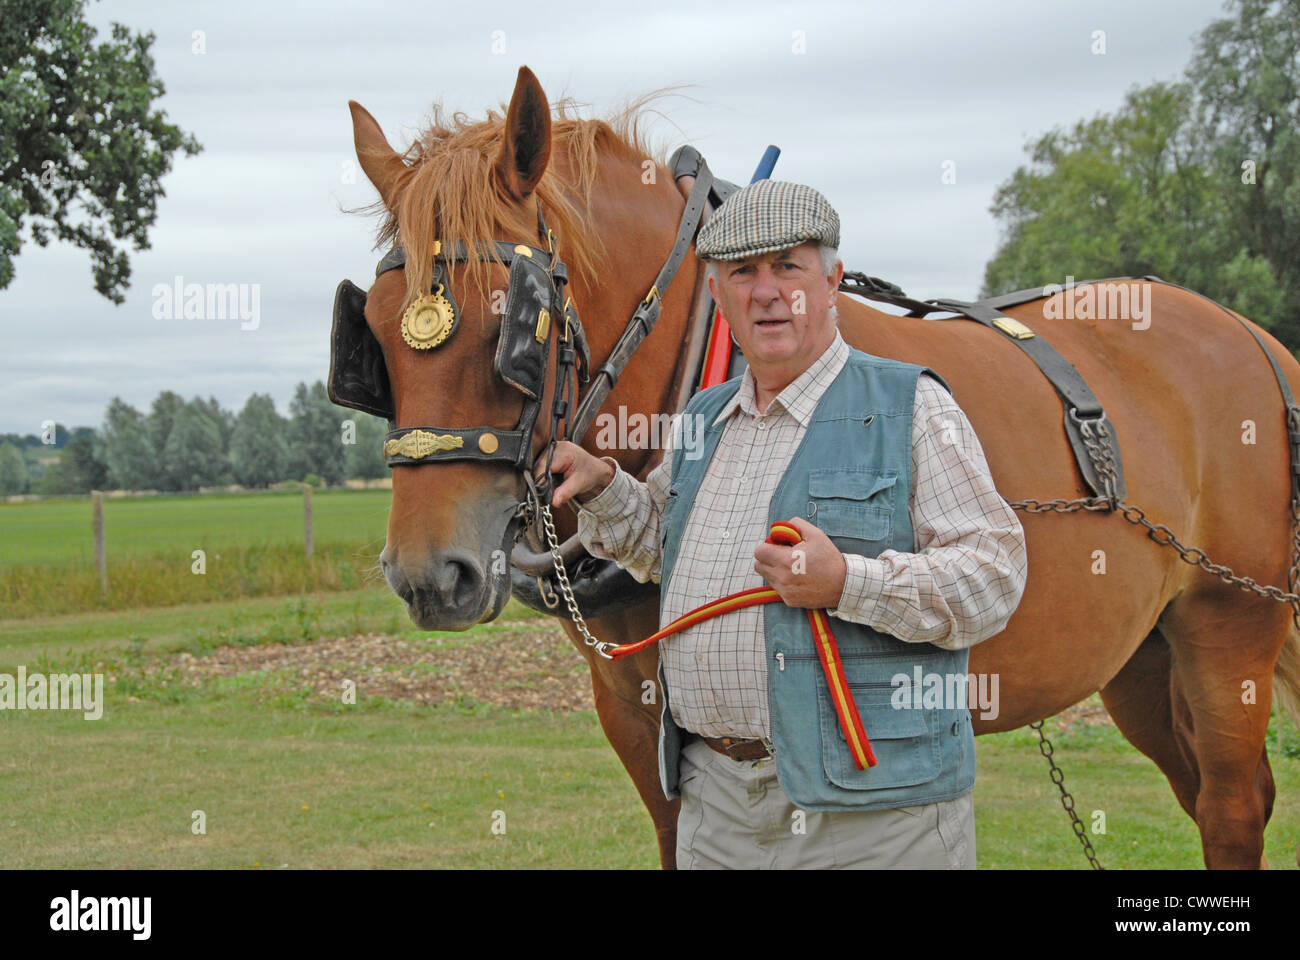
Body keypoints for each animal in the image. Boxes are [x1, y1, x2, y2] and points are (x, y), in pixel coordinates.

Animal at [335, 66, 1300, 869]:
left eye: (517, 323)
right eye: (373, 330)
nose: (430, 575)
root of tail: (1252, 335)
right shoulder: (639, 709)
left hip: (1228, 622)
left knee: (1233, 805)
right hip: (1142, 651)